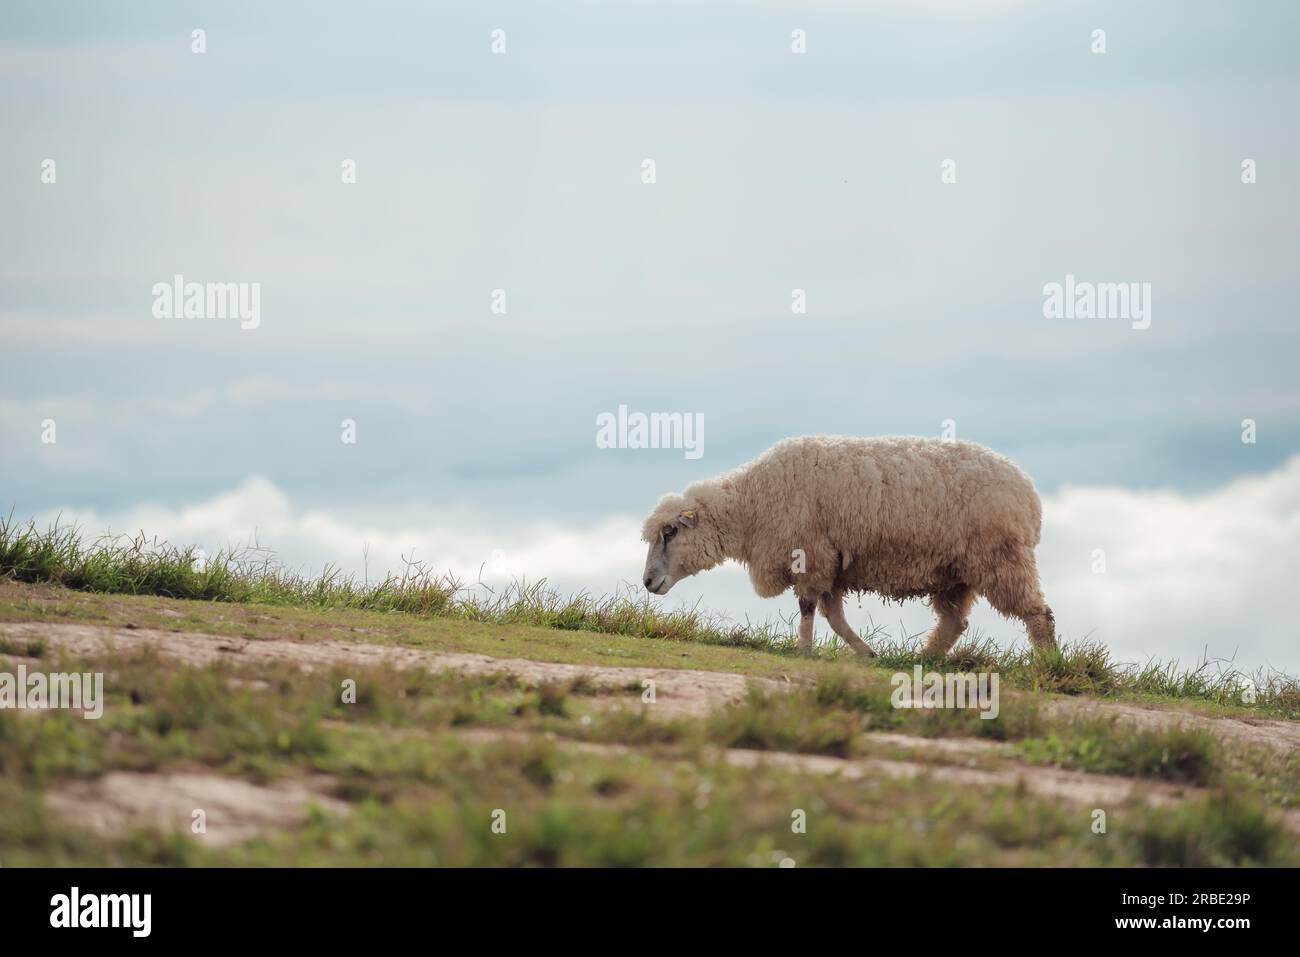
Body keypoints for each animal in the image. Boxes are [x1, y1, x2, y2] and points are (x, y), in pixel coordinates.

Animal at [640, 435, 1056, 658]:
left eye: (670, 532)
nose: (646, 582)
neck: (752, 505)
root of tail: (1029, 494)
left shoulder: (811, 556)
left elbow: (807, 608)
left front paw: (803, 649)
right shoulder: (832, 564)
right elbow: (835, 618)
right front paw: (866, 653)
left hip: (1002, 560)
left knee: (1039, 615)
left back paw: (1047, 663)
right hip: (956, 573)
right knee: (954, 623)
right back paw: (925, 659)